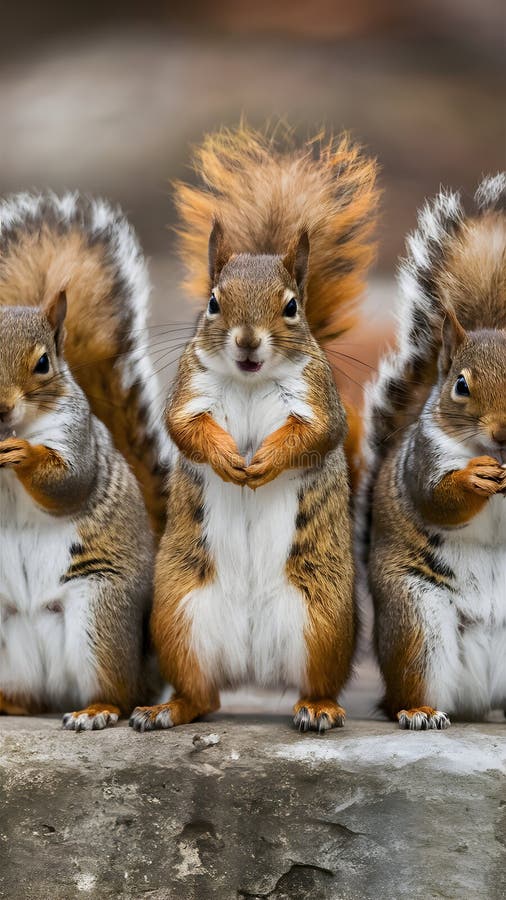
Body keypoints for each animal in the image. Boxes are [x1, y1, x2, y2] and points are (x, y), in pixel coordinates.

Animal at [0, 192, 170, 729]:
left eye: (43, 363)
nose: (0, 408)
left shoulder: (76, 436)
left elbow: (71, 481)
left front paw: (26, 454)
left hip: (100, 614)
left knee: (115, 691)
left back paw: (94, 711)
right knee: (28, 698)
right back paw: (8, 702)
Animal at [130, 125, 378, 733]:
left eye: (291, 307)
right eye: (213, 302)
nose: (246, 341)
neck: (247, 381)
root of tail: (254, 671)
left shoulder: (317, 401)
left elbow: (314, 436)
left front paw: (263, 462)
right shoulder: (190, 391)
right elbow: (185, 429)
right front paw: (227, 460)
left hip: (324, 619)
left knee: (318, 680)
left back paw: (318, 708)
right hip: (178, 618)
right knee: (204, 696)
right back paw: (167, 709)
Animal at [357, 174, 506, 730]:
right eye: (460, 385)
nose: (503, 433)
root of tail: (477, 698)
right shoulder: (423, 459)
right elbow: (436, 498)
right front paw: (472, 478)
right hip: (417, 620)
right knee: (413, 685)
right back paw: (419, 711)